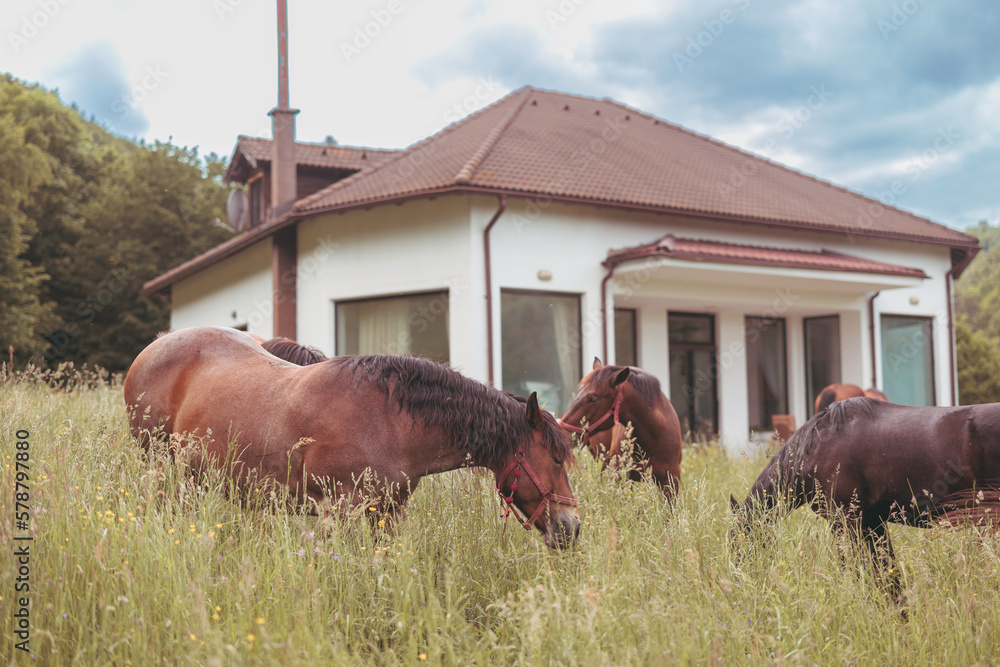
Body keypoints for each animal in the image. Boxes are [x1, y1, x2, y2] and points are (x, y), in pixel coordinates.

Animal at [123, 327, 580, 549]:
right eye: (556, 460)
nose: (572, 527)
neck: (391, 420)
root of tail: (156, 345)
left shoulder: (389, 514)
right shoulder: (336, 511)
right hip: (159, 467)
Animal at [558, 358, 682, 500]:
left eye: (593, 398)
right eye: (578, 393)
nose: (562, 432)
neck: (655, 436)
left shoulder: (671, 482)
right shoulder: (620, 477)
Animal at [731, 397, 1000, 600]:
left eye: (739, 540)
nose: (739, 582)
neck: (818, 444)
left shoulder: (844, 521)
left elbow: (853, 570)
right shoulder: (873, 523)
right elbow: (888, 576)